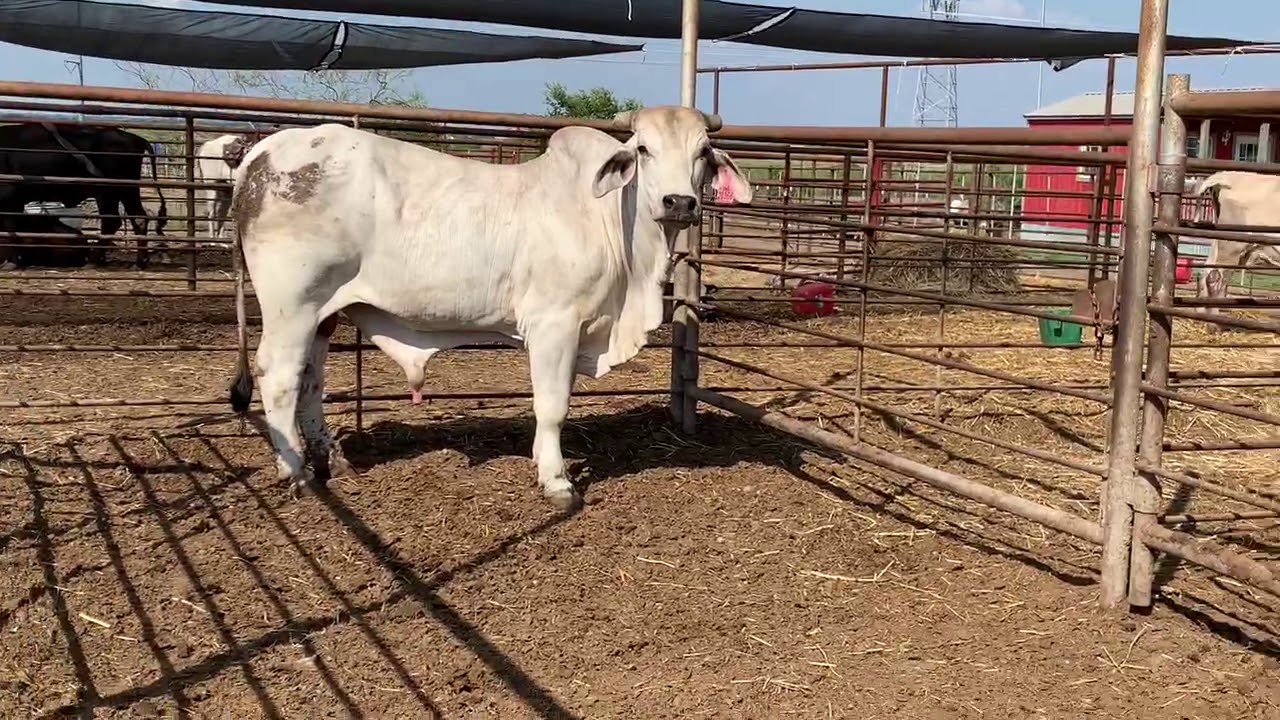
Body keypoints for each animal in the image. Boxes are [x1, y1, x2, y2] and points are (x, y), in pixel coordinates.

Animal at [0, 122, 168, 269]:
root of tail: (136, 139)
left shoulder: (8, 198)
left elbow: (10, 230)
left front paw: (12, 262)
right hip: (125, 190)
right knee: (138, 218)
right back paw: (139, 262)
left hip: (108, 191)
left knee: (111, 221)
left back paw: (95, 260)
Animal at [225, 106, 752, 510]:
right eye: (643, 149)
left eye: (702, 153)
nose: (679, 202)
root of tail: (261, 154)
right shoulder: (554, 324)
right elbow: (552, 406)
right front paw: (557, 481)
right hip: (291, 305)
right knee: (280, 377)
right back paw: (294, 472)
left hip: (323, 311)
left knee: (311, 378)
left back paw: (332, 460)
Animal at [1189, 171, 1280, 329]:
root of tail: (1224, 175)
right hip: (1232, 245)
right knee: (1215, 277)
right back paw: (1214, 323)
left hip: (1219, 242)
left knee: (1206, 272)